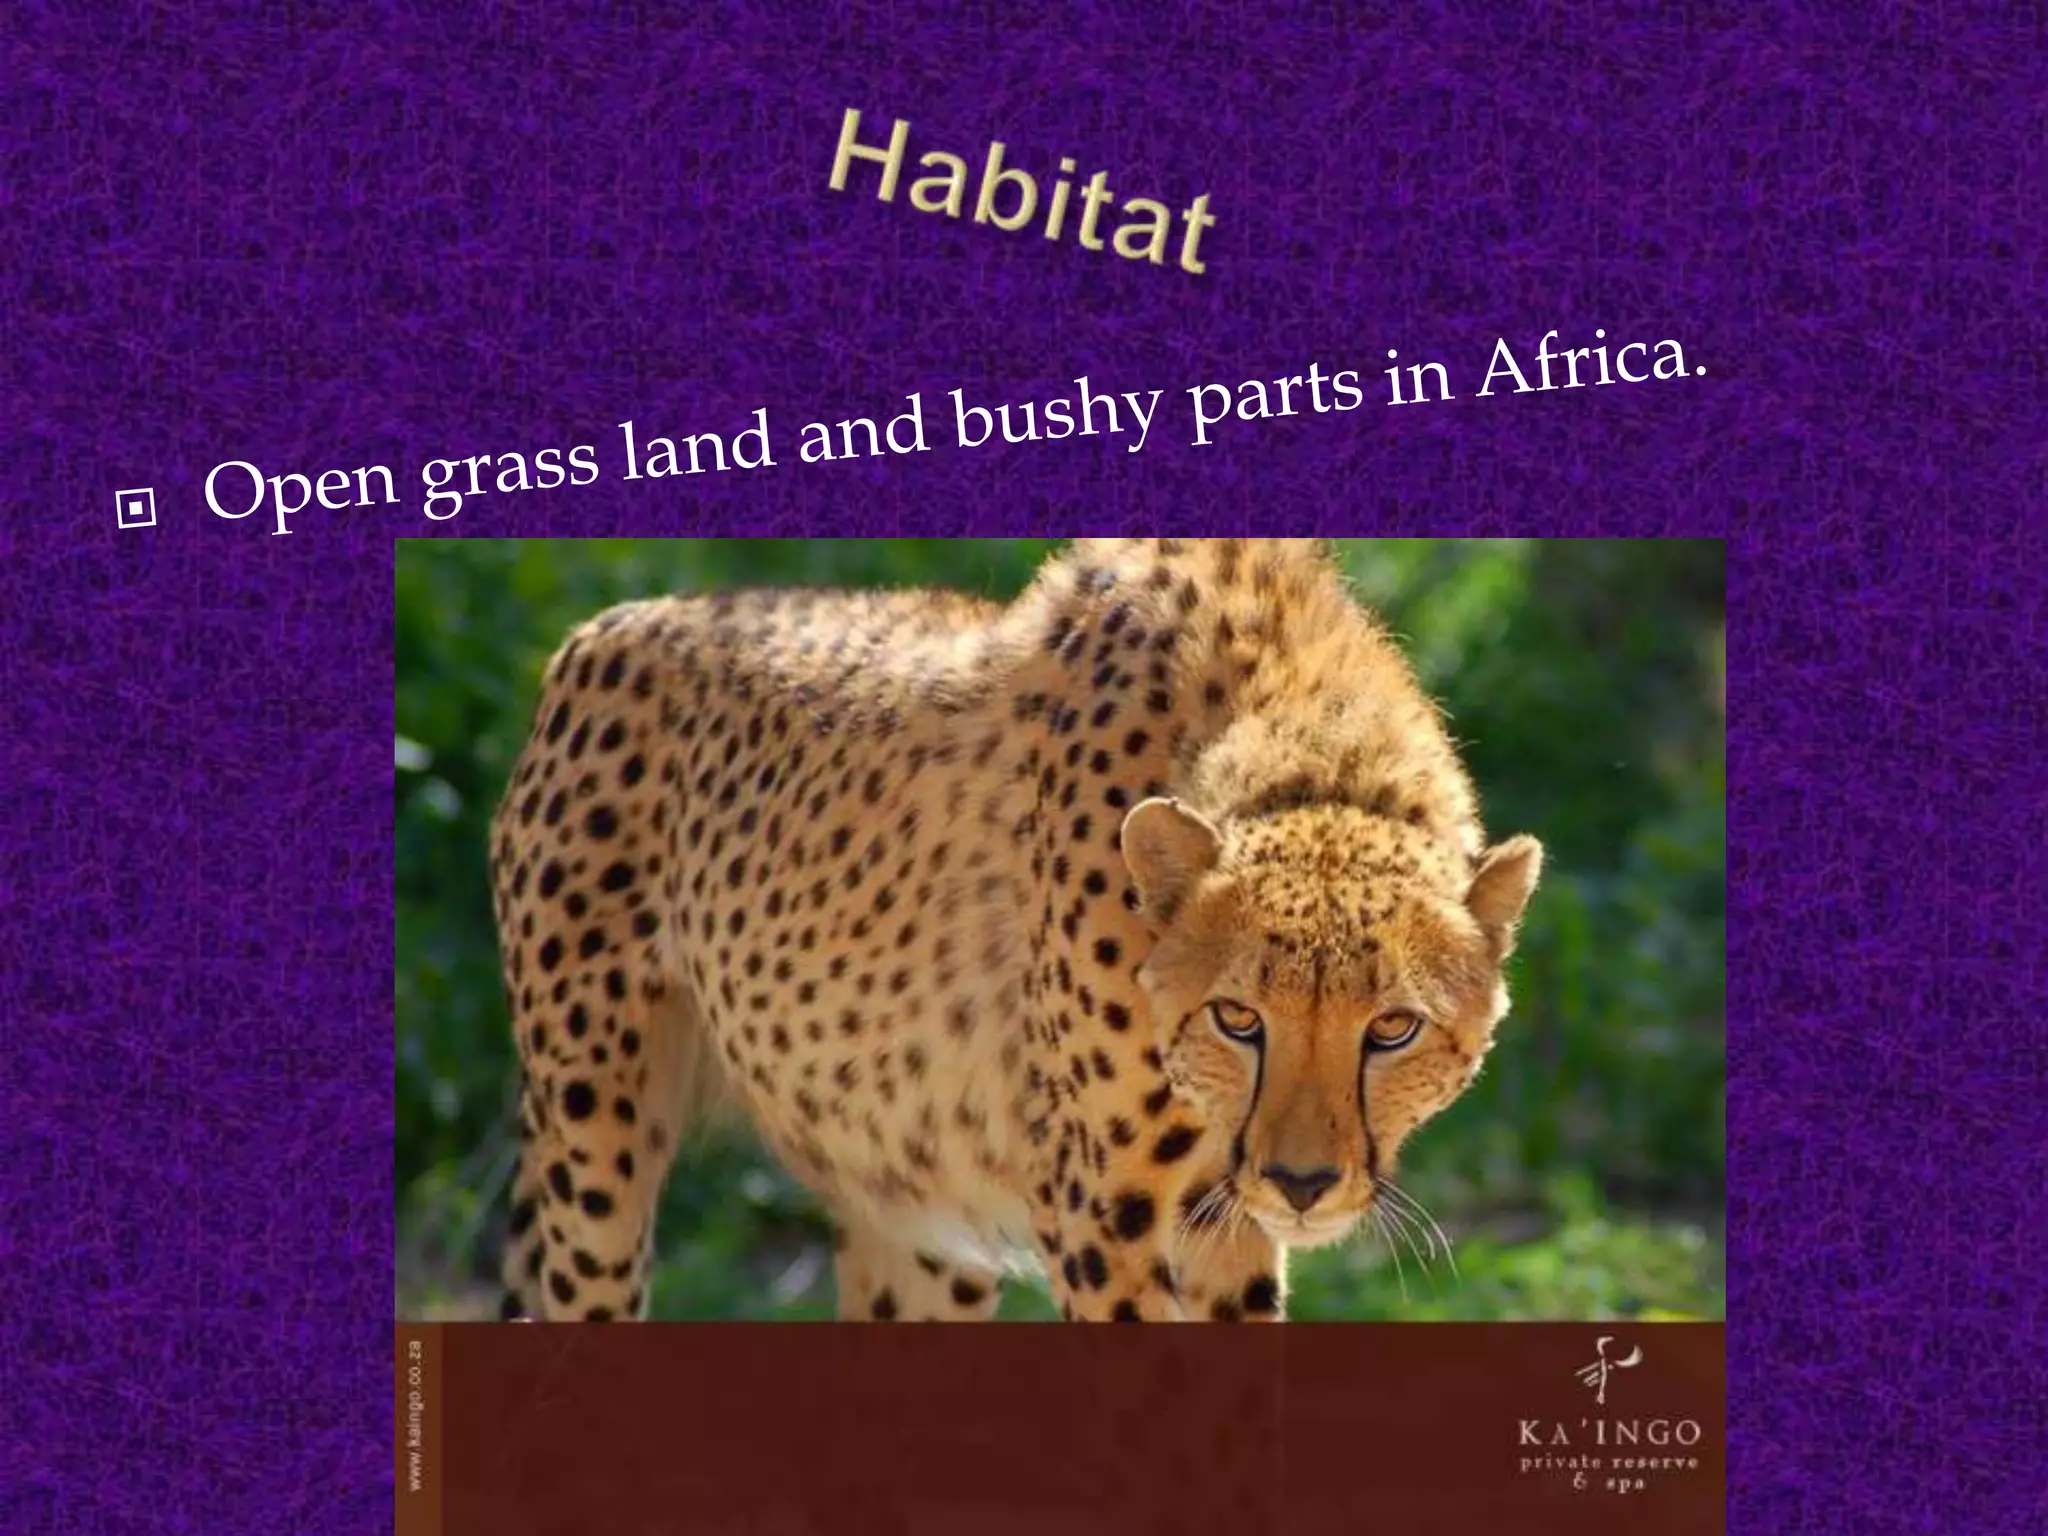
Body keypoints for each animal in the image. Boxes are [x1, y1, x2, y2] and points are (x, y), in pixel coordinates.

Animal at [486, 537, 1542, 1323]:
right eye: (1238, 1018)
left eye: (1392, 1027)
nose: (1304, 1182)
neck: (1303, 757)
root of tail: (609, 625)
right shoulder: (1104, 1211)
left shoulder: (1218, 1227)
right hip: (593, 1144)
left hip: (909, 1197)